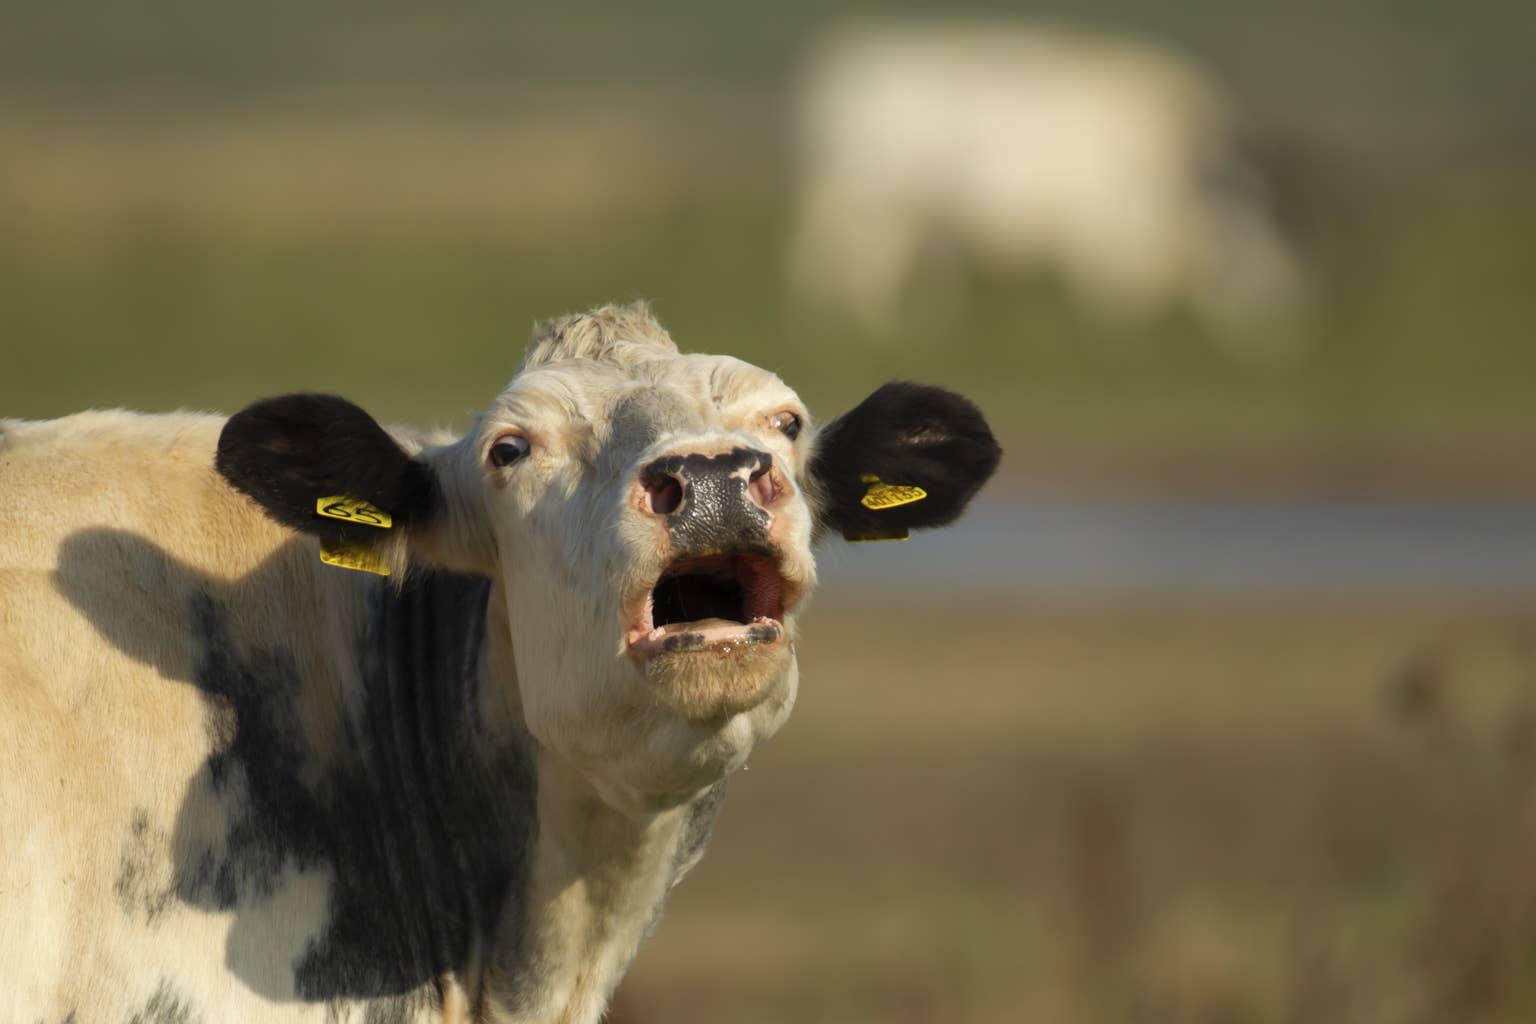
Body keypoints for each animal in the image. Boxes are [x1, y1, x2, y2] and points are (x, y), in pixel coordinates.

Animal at [787, 19, 1306, 349]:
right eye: (1249, 238)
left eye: (1292, 228)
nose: (1290, 317)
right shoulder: (1109, 218)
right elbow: (1113, 276)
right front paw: (1116, 327)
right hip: (876, 196)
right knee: (863, 253)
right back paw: (871, 319)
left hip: (896, 203)